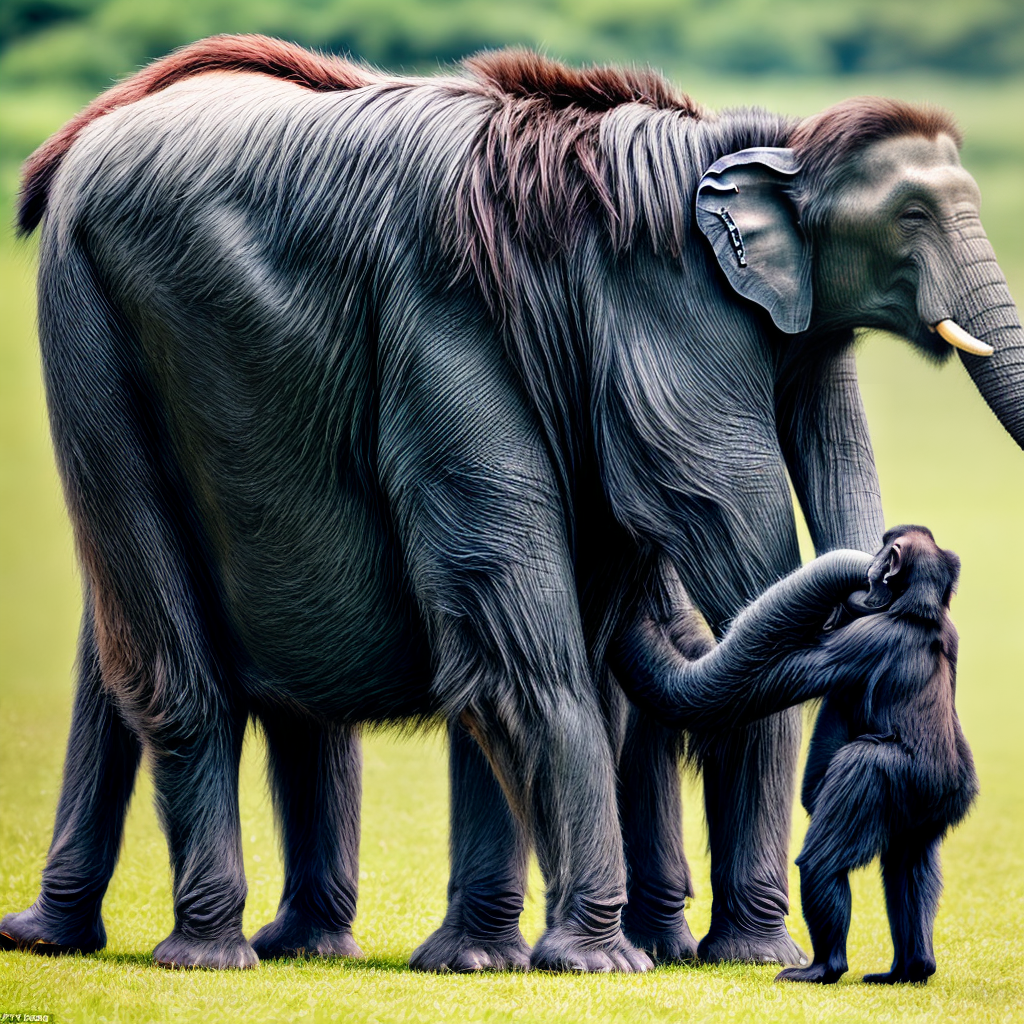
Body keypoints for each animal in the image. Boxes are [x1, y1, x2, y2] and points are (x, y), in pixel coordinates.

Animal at [1, 36, 1022, 972]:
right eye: (912, 214)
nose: (895, 558)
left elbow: (538, 641)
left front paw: (495, 963)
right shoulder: (469, 322)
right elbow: (542, 625)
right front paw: (597, 965)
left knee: (147, 663)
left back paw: (182, 941)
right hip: (83, 317)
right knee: (171, 662)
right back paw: (206, 957)